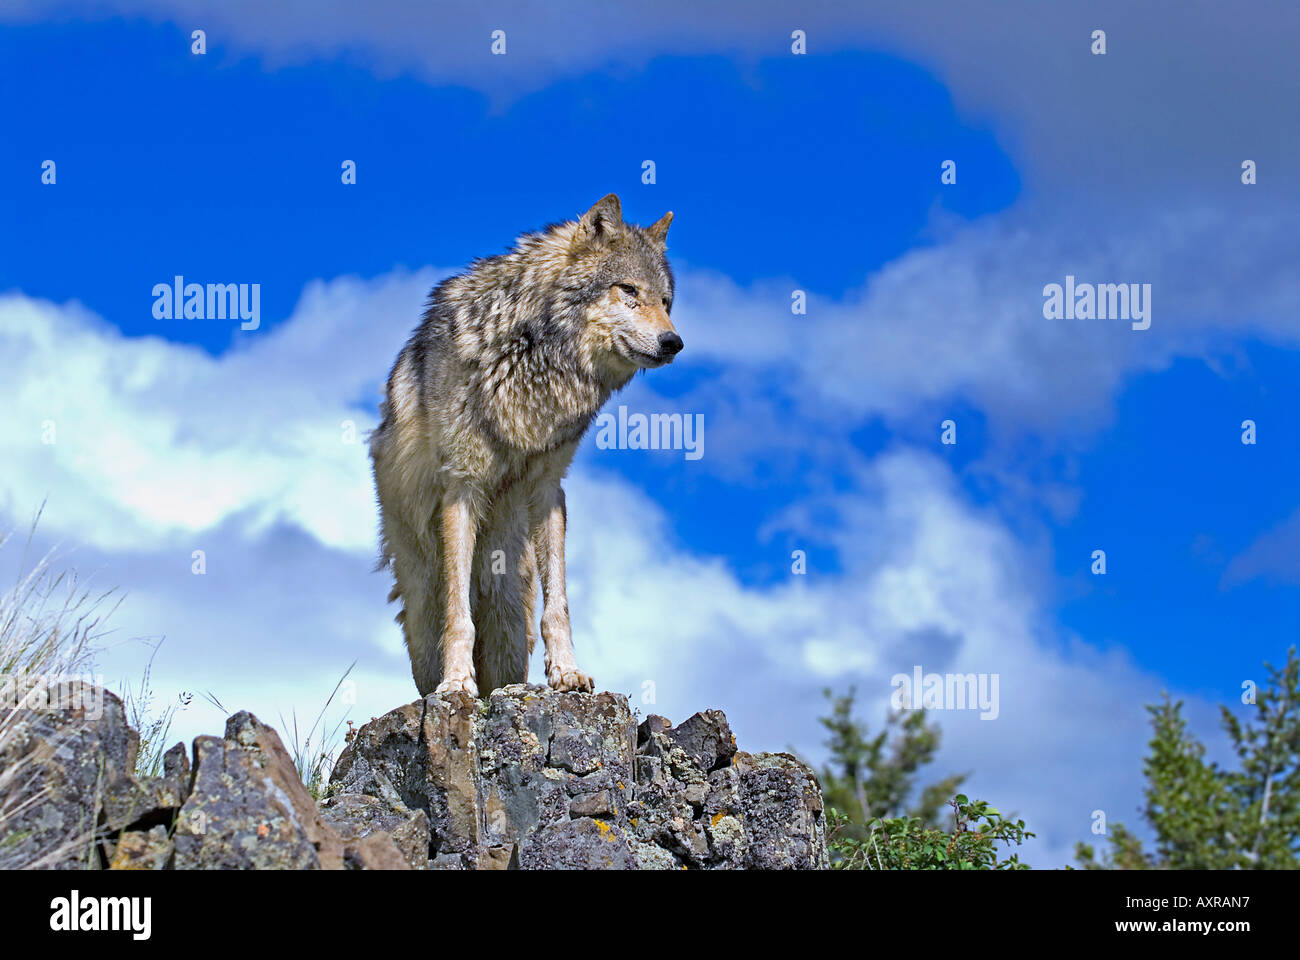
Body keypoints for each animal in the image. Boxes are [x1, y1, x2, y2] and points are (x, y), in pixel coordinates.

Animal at [370, 194, 682, 698]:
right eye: (629, 290)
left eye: (666, 301)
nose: (674, 342)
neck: (533, 354)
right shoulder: (462, 486)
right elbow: (459, 616)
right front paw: (457, 682)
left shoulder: (549, 489)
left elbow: (559, 606)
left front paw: (567, 672)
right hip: (421, 602)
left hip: (509, 615)